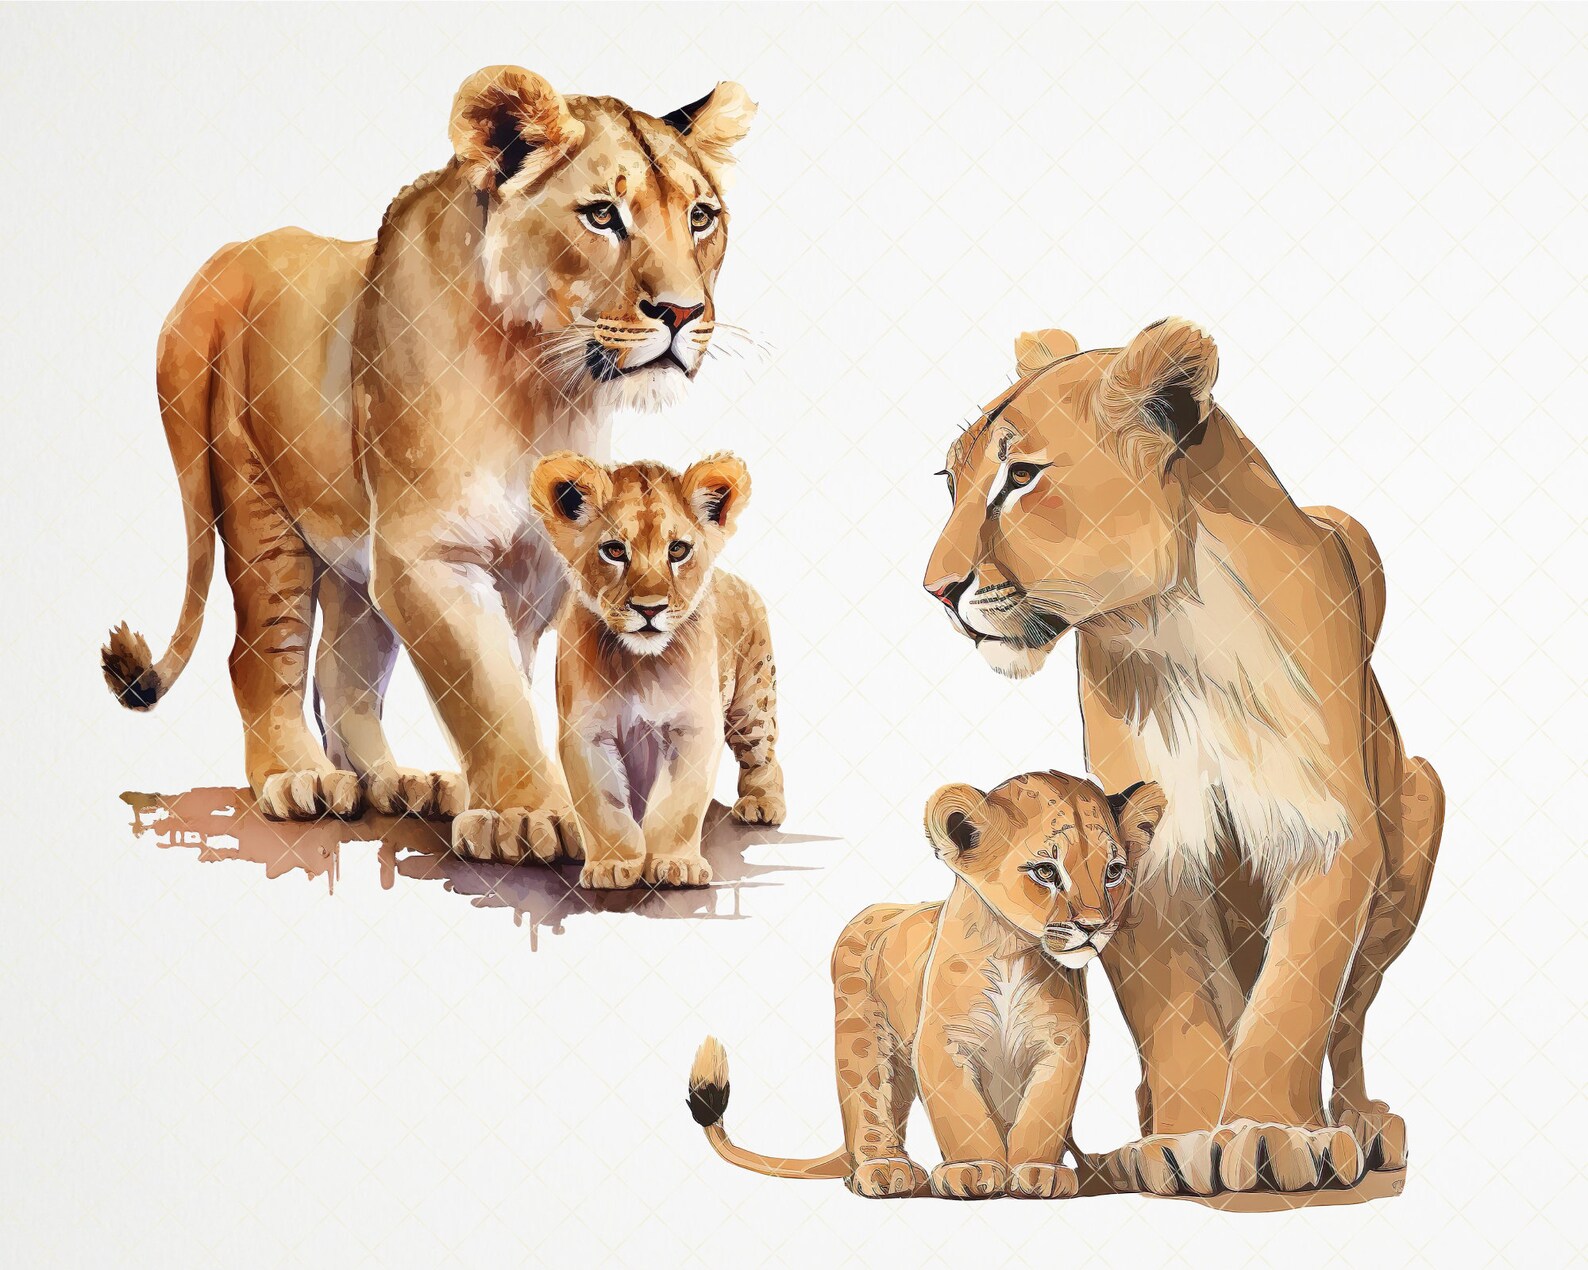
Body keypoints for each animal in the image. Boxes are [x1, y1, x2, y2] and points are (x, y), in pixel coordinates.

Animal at [102, 67, 755, 859]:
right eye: (602, 215)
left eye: (701, 217)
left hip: (352, 548)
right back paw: (296, 777)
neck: (544, 385)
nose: (684, 313)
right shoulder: (424, 549)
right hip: (254, 501)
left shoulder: (529, 567)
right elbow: (487, 689)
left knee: (343, 669)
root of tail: (222, 262)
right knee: (261, 651)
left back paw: (398, 783)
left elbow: (504, 680)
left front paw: (486, 805)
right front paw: (528, 817)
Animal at [528, 451, 784, 889]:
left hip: (753, 701)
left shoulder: (693, 727)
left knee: (763, 755)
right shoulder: (587, 732)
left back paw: (762, 803)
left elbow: (678, 805)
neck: (640, 665)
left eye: (678, 550)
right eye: (614, 551)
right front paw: (613, 864)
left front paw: (675, 864)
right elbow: (604, 806)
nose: (650, 609)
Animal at [687, 771, 1166, 1199]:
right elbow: (963, 1111)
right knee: (868, 1104)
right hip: (863, 1039)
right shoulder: (941, 1041)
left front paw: (1038, 1170)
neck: (1014, 951)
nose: (1095, 926)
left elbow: (1043, 1112)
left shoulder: (1061, 1043)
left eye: (1114, 871)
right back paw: (884, 1168)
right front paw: (975, 1168)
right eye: (1046, 872)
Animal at [922, 319, 1444, 1195]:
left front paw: (1269, 1129)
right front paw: (1184, 1137)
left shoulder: (1329, 826)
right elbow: (1176, 1011)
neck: (1179, 625)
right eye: (950, 482)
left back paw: (1361, 1122)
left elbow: (1297, 998)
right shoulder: (1153, 842)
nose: (936, 590)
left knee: (1350, 1020)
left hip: (1420, 797)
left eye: (1022, 476)